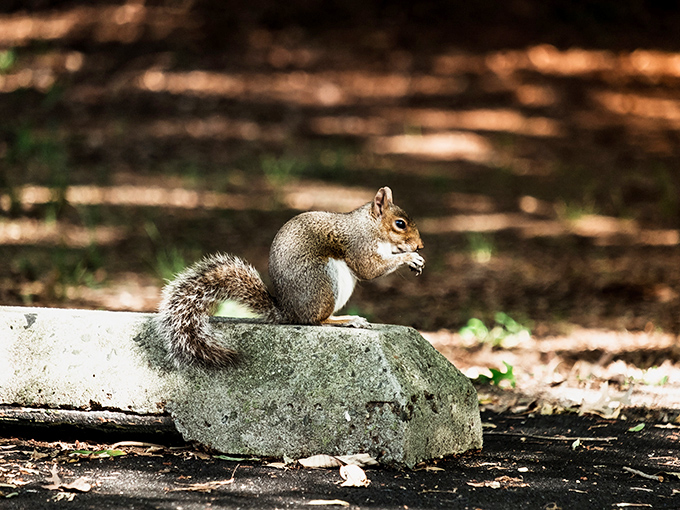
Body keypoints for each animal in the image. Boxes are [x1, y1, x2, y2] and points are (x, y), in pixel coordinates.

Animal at [156, 186, 424, 368]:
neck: (370, 227)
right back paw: (345, 320)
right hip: (323, 281)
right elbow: (369, 268)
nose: (420, 246)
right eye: (400, 224)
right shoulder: (358, 245)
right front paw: (409, 258)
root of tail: (288, 311)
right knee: (315, 321)